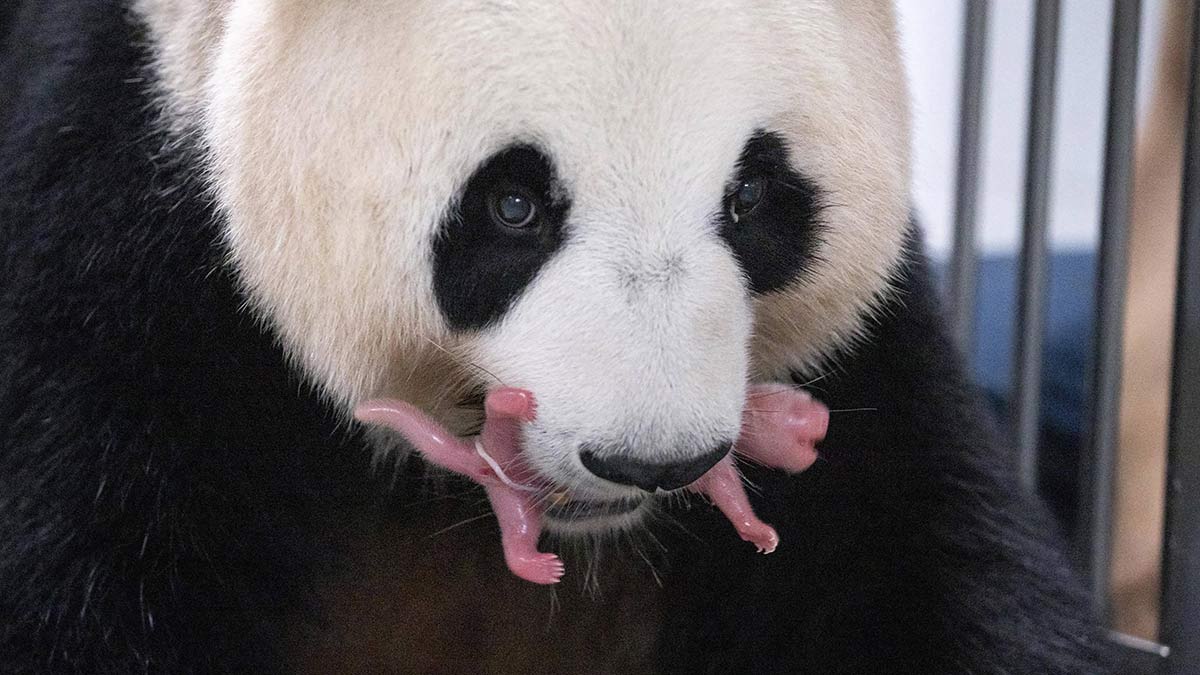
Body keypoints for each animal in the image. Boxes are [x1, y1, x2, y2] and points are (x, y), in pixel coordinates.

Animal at [0, 1, 1115, 673]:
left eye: (754, 197)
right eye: (514, 206)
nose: (654, 460)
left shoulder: (862, 378)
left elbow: (927, 559)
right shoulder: (119, 249)